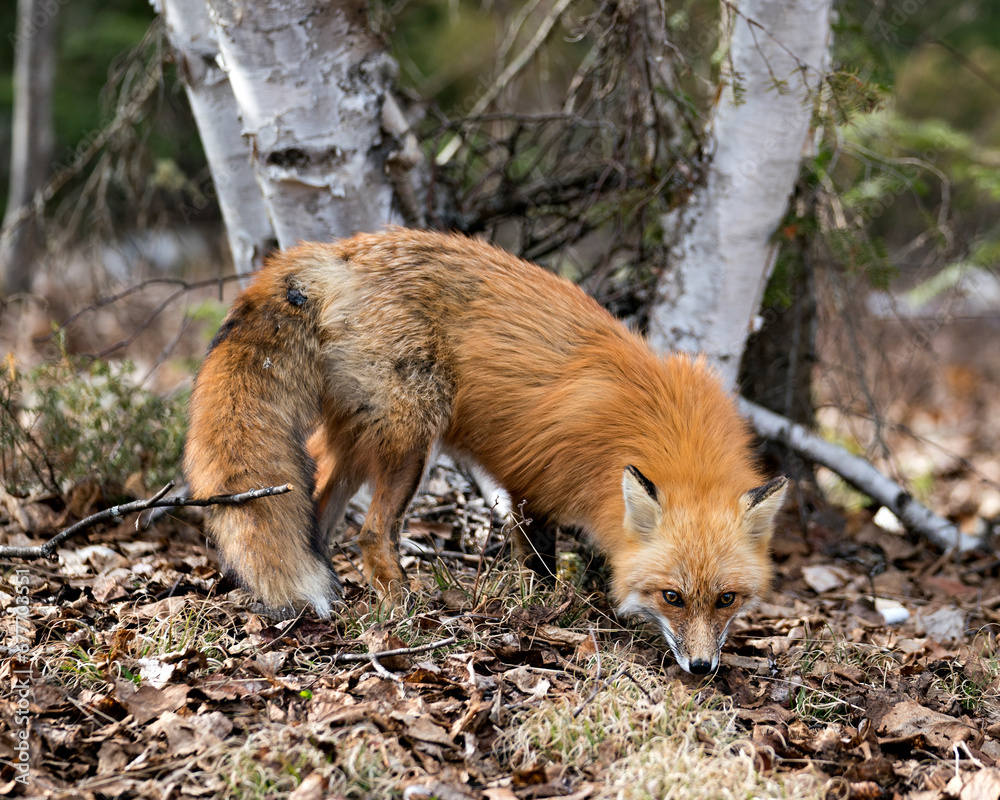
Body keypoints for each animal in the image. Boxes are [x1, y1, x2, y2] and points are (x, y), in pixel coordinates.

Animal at [184, 228, 787, 675]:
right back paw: (404, 608)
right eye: (672, 597)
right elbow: (540, 566)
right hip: (414, 441)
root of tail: (338, 253)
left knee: (317, 516)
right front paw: (547, 614)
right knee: (372, 535)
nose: (703, 668)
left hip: (357, 441)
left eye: (726, 599)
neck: (664, 428)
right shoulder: (534, 484)